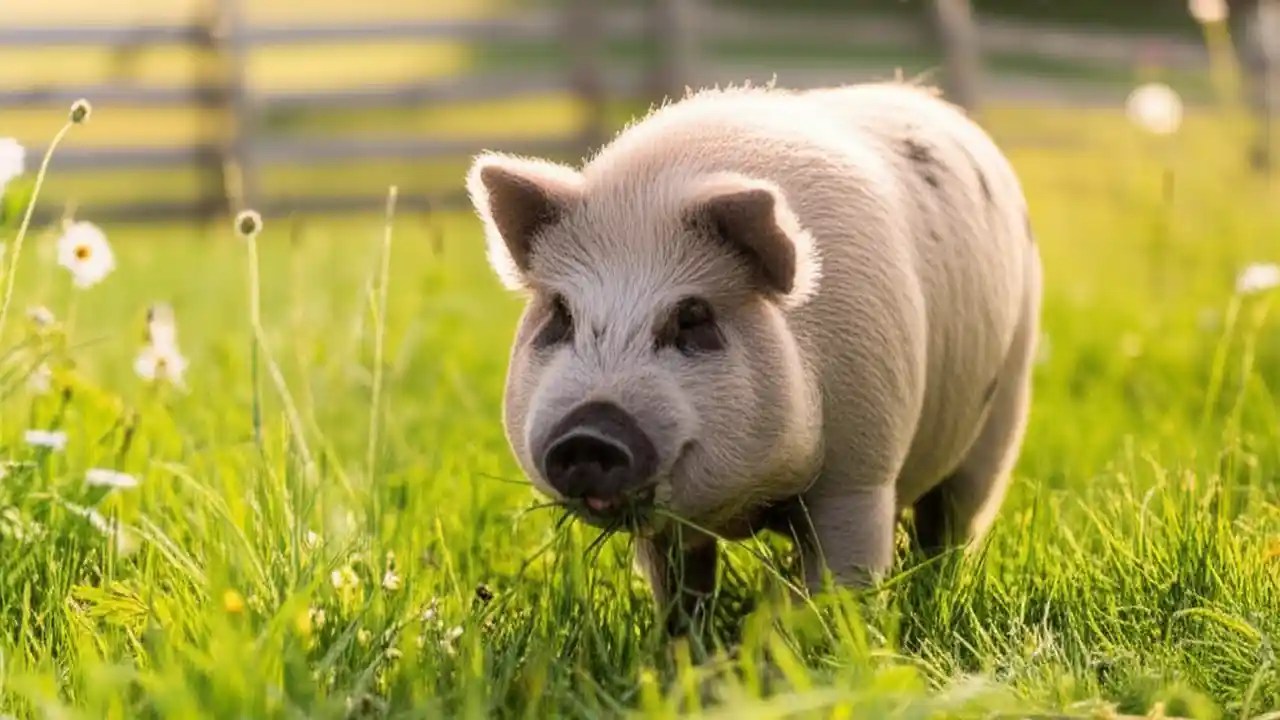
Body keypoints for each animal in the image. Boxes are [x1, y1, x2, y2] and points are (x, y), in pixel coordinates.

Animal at [466, 80, 1042, 633]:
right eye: (561, 314)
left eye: (693, 318)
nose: (589, 433)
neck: (752, 500)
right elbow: (680, 585)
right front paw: (683, 649)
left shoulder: (863, 469)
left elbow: (846, 572)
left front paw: (826, 639)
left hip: (1003, 409)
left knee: (952, 522)